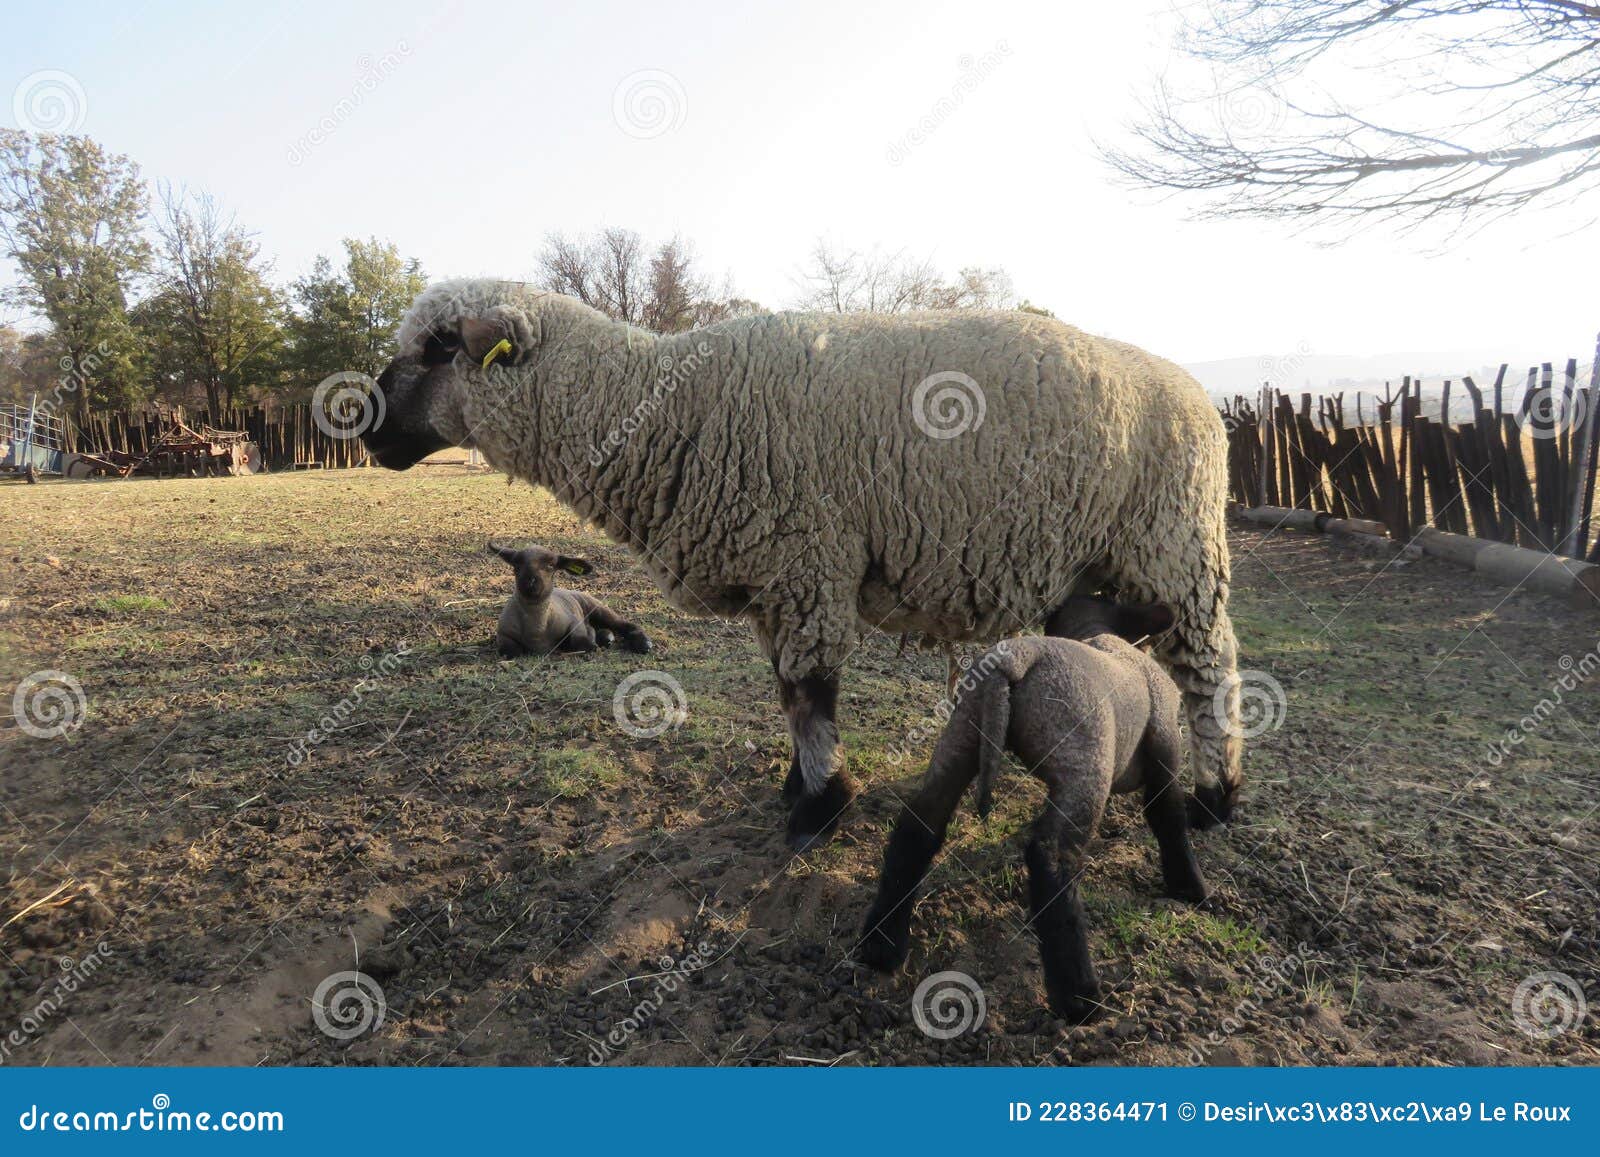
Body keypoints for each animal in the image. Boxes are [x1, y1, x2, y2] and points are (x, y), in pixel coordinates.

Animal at [488, 542, 652, 657]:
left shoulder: (574, 623)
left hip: (597, 607)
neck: (537, 629)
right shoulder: (503, 634)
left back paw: (643, 643)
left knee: (624, 624)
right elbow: (511, 651)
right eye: (516, 565)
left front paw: (589, 644)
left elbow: (581, 643)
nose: (530, 581)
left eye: (551, 565)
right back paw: (606, 637)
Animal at [857, 596, 1208, 1022]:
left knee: (918, 824)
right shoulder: (1165, 749)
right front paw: (1191, 888)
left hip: (962, 735)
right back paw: (1080, 999)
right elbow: (1170, 820)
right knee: (1051, 856)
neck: (1099, 632)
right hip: (1085, 764)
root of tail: (1019, 656)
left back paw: (882, 947)